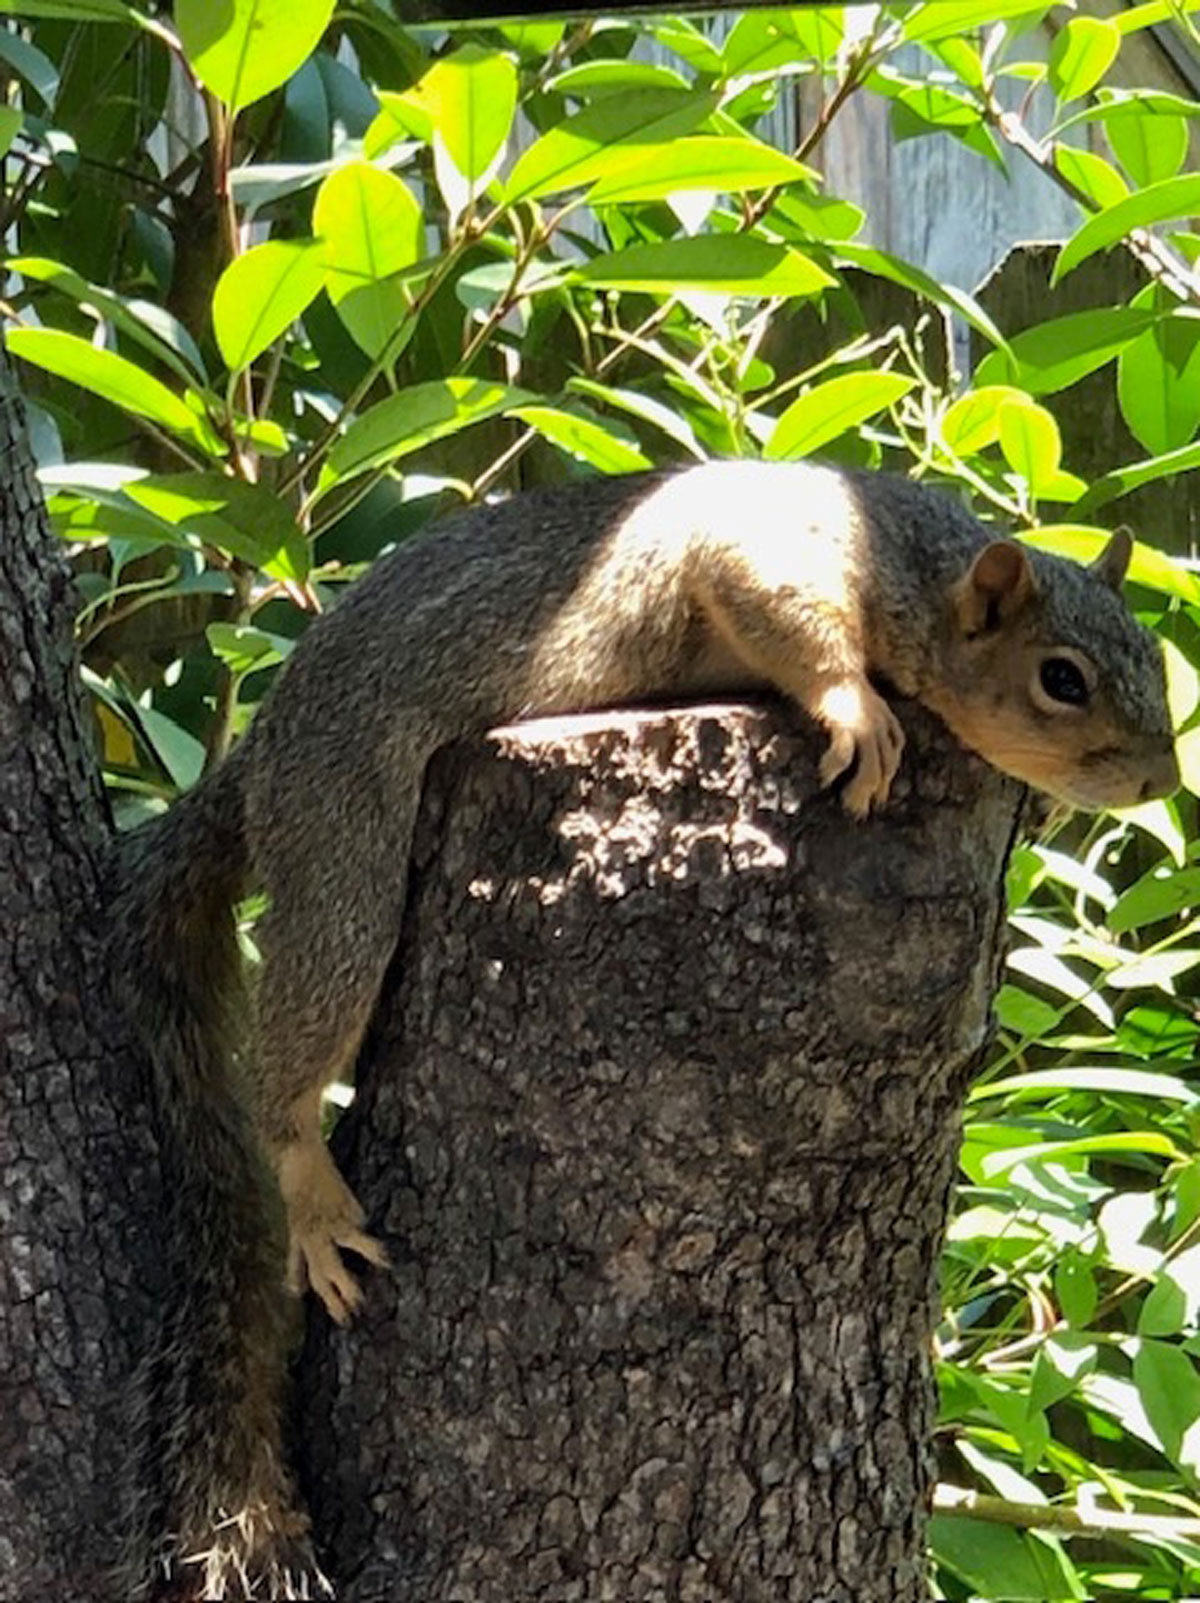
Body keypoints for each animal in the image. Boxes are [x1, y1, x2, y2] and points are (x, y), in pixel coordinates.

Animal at [110, 458, 1178, 1587]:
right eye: (1062, 679)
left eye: (1155, 655)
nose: (1160, 778)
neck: (917, 559)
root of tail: (259, 757)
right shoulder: (774, 549)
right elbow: (777, 610)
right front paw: (856, 708)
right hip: (340, 830)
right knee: (309, 1012)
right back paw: (309, 1192)